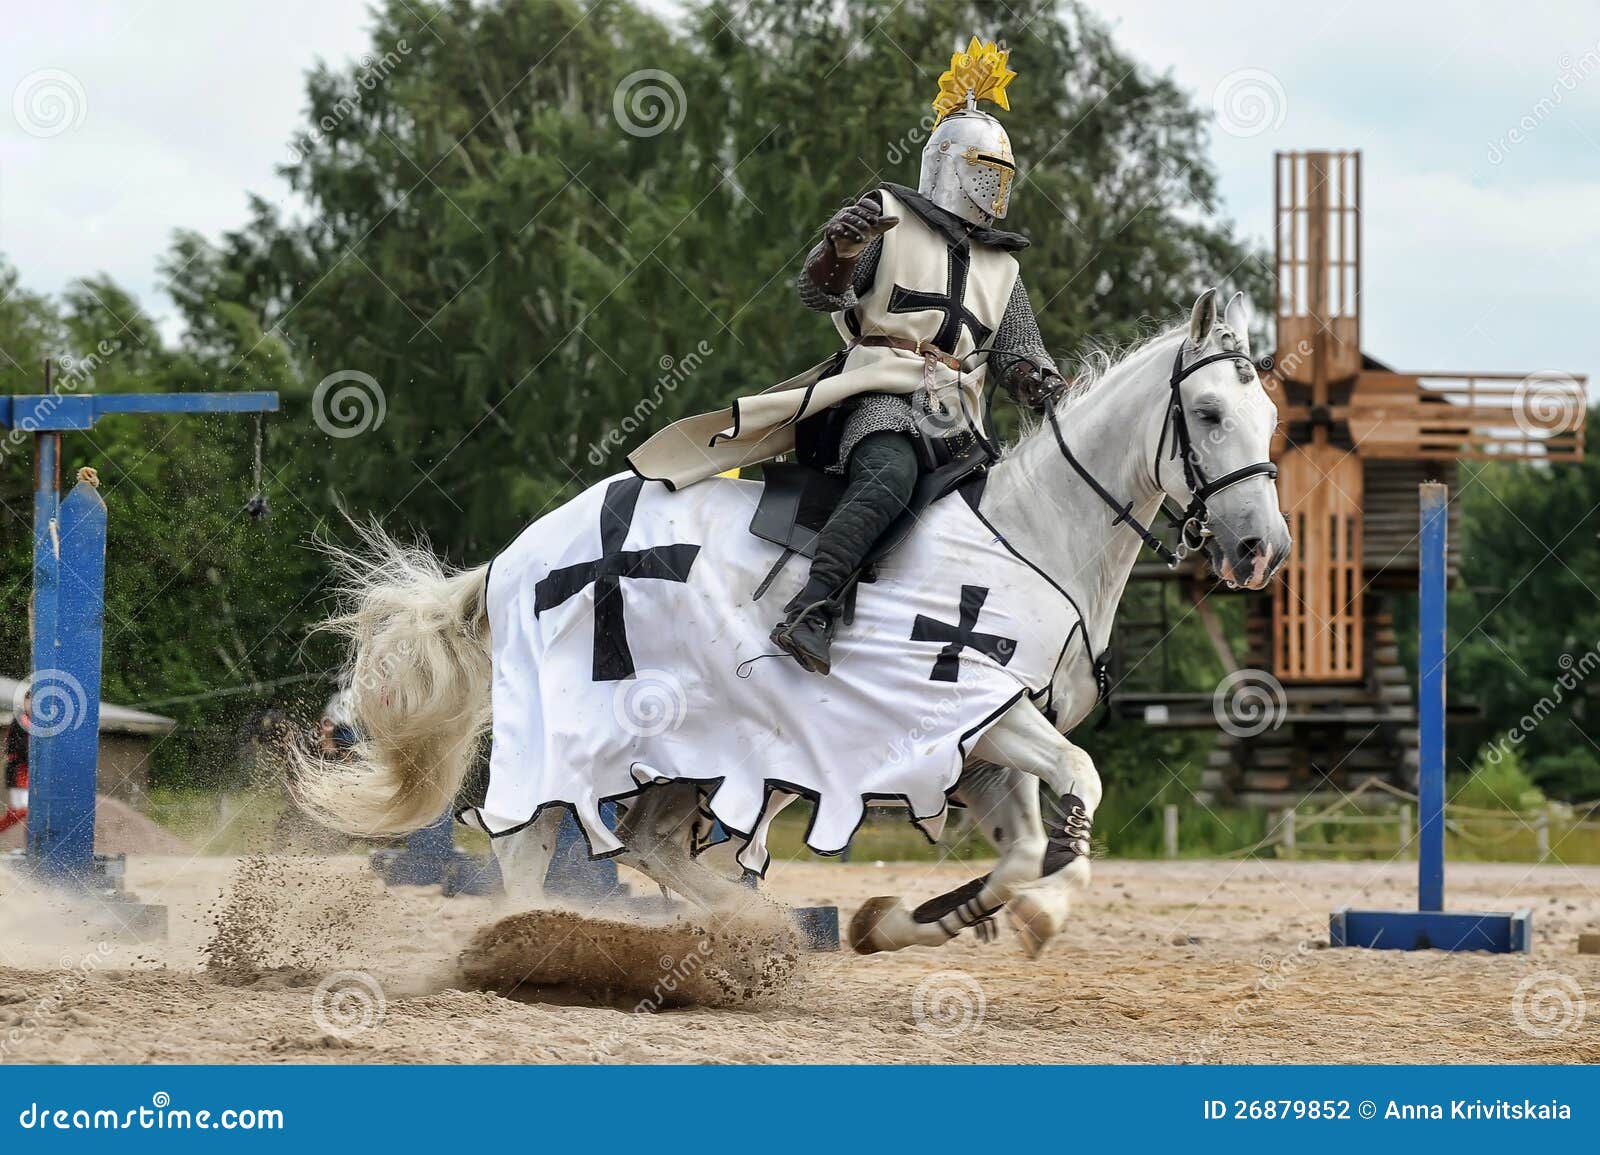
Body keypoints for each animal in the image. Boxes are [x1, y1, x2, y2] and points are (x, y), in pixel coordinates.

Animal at [291, 288, 1290, 959]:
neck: (1032, 535)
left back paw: (748, 924)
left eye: (1270, 416)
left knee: (651, 844)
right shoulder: (986, 717)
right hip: (587, 736)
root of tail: (514, 556)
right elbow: (1077, 790)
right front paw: (1040, 913)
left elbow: (1027, 850)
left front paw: (906, 920)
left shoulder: (976, 750)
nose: (1262, 548)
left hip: (692, 751)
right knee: (530, 842)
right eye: (1207, 413)